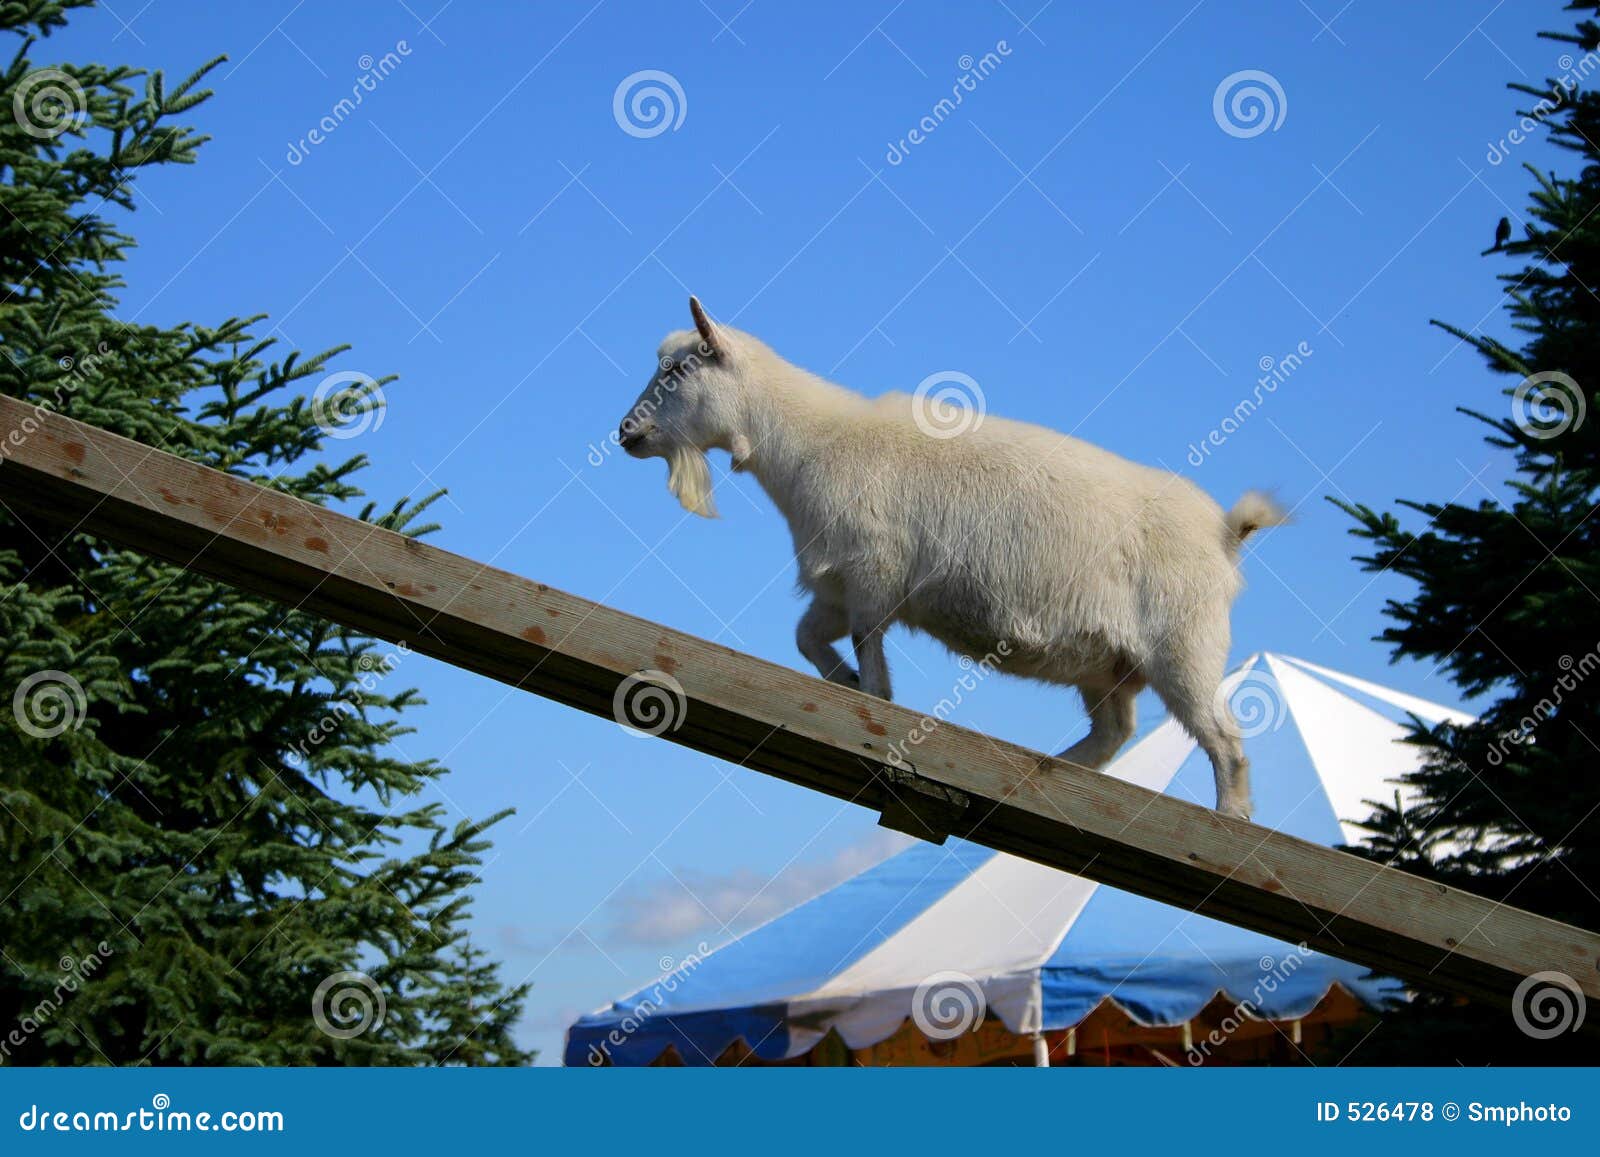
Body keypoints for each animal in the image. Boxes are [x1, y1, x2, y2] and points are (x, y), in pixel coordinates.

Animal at [613, 297, 1287, 819]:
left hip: (1184, 645)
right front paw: (845, 681)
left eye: (679, 369)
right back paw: (1056, 770)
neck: (807, 444)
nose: (624, 434)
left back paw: (1230, 815)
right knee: (1113, 731)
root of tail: (1226, 532)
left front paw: (873, 697)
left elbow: (867, 646)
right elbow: (807, 638)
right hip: (1112, 666)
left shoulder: (874, 574)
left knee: (1225, 741)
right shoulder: (837, 584)